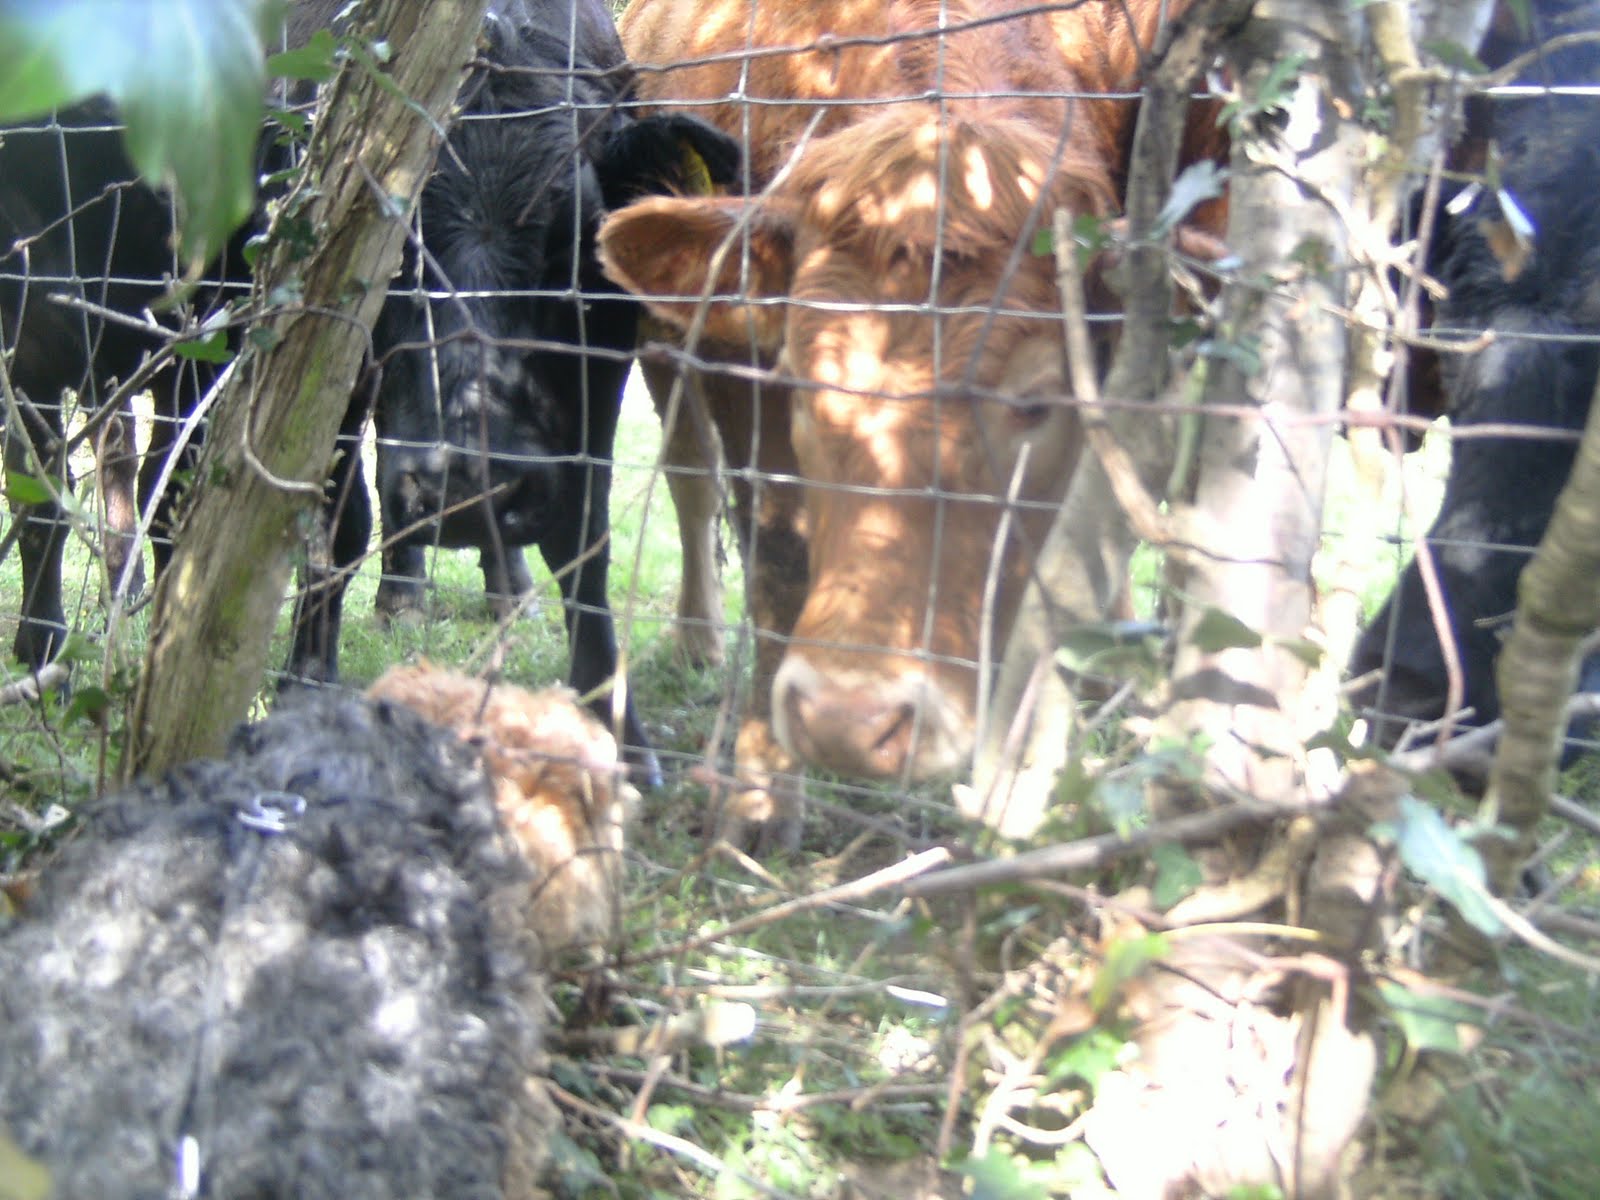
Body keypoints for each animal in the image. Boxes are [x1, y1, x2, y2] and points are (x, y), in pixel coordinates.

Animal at [598, 0, 1225, 849]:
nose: (848, 718)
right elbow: (777, 560)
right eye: (801, 381)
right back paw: (698, 636)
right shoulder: (738, 368)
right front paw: (760, 793)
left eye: (1036, 400)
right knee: (691, 482)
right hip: (661, 345)